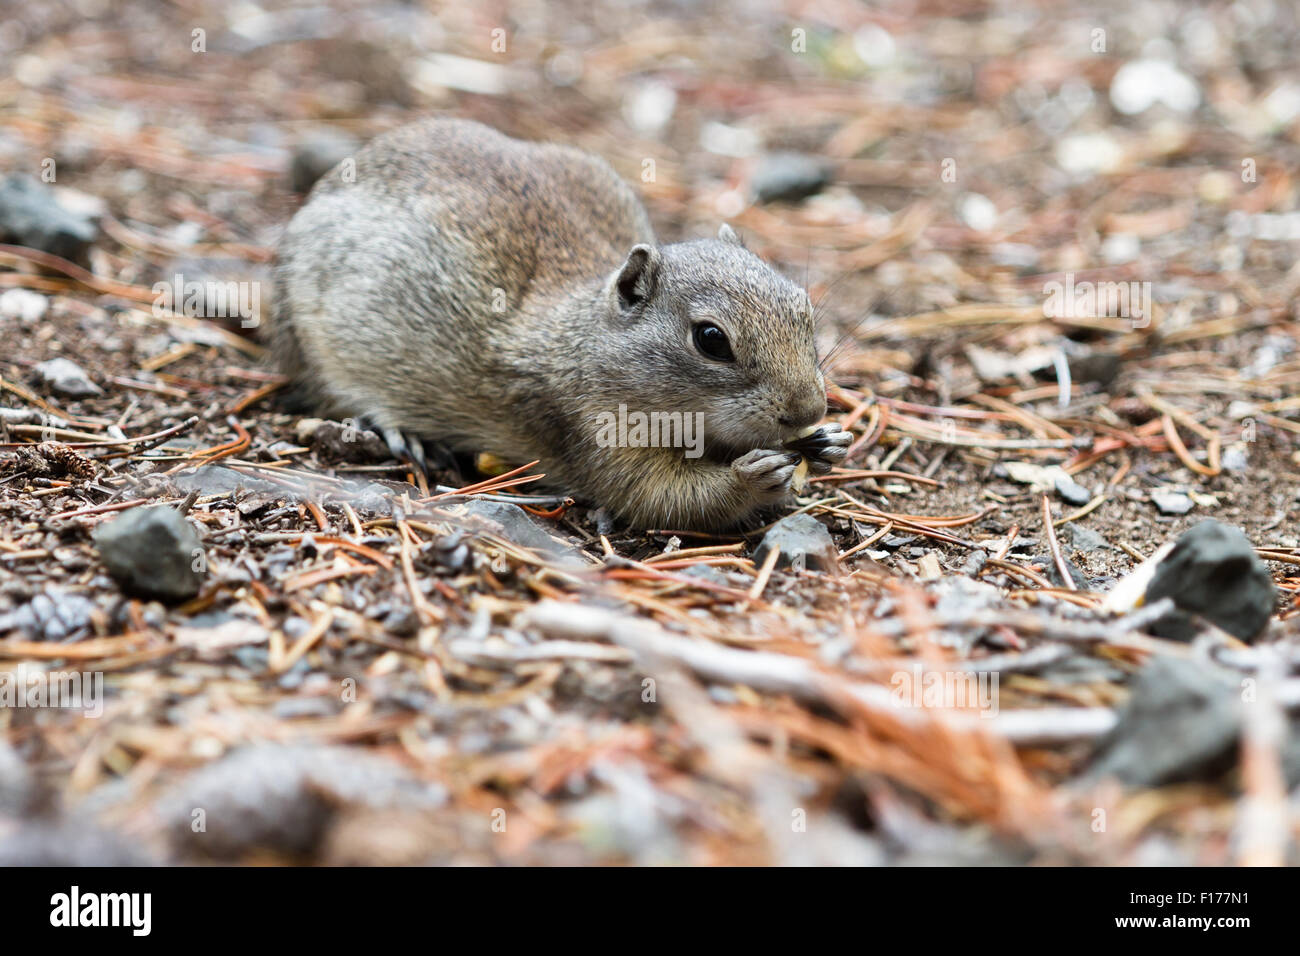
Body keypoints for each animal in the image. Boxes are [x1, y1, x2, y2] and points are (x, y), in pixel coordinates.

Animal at [269, 118, 849, 529]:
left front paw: (828, 442)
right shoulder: (598, 434)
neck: (587, 343)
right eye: (711, 339)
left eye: (802, 305)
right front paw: (754, 479)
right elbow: (665, 500)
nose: (808, 410)